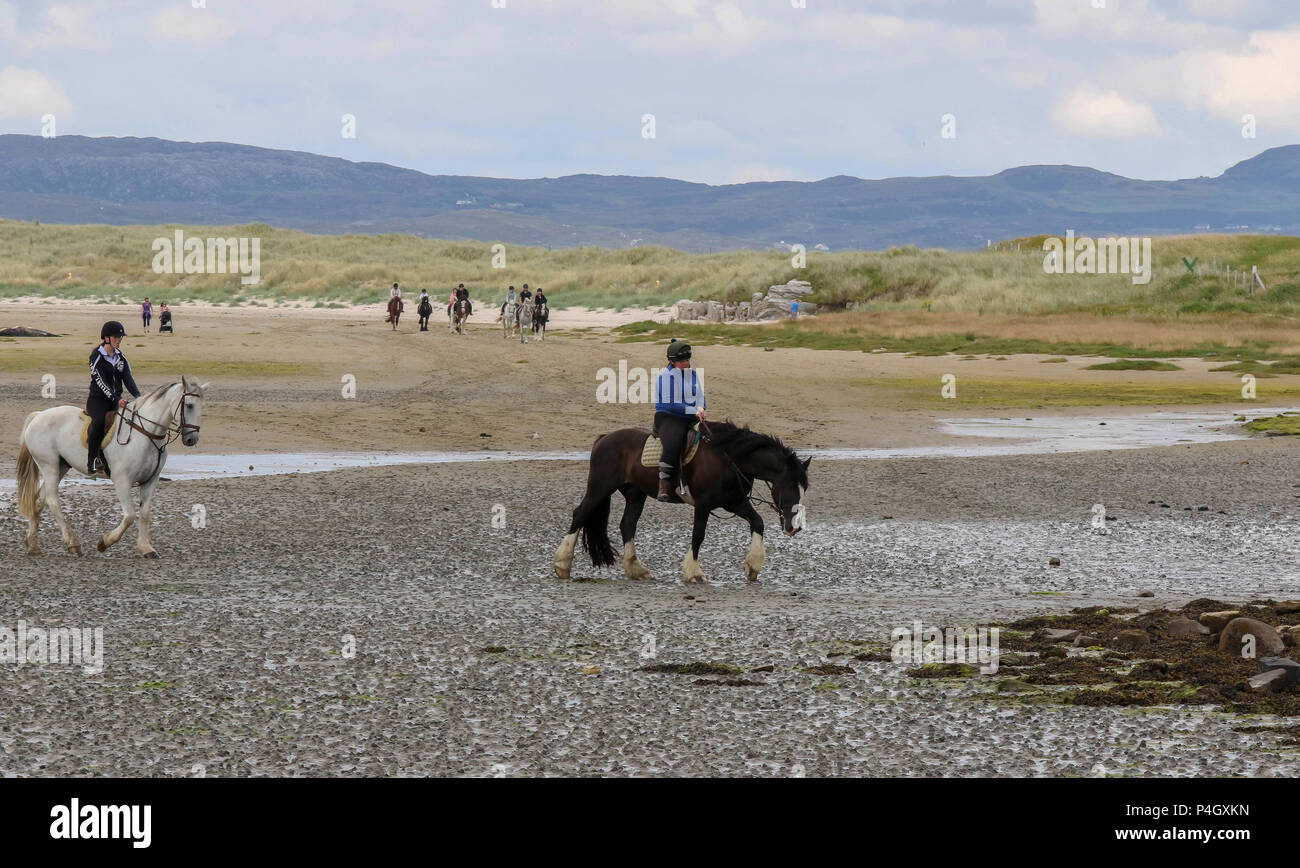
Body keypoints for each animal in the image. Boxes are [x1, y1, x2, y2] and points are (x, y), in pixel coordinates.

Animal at [16, 377, 207, 558]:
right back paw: (72, 543)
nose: (192, 439)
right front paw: (104, 542)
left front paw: (147, 549)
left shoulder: (151, 480)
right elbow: (130, 516)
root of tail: (39, 416)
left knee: (39, 500)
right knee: (52, 500)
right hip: (49, 466)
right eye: (189, 405)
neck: (145, 433)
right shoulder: (122, 480)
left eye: (200, 407)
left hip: (61, 466)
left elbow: (145, 514)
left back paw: (33, 546)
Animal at [553, 421, 810, 584]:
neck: (728, 458)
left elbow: (757, 523)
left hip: (635, 494)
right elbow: (698, 535)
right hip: (600, 487)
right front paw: (694, 572)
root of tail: (604, 438)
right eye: (789, 485)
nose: (793, 527)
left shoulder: (734, 502)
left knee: (627, 525)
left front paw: (753, 566)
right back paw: (563, 564)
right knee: (580, 514)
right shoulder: (704, 505)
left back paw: (636, 569)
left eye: (802, 488)